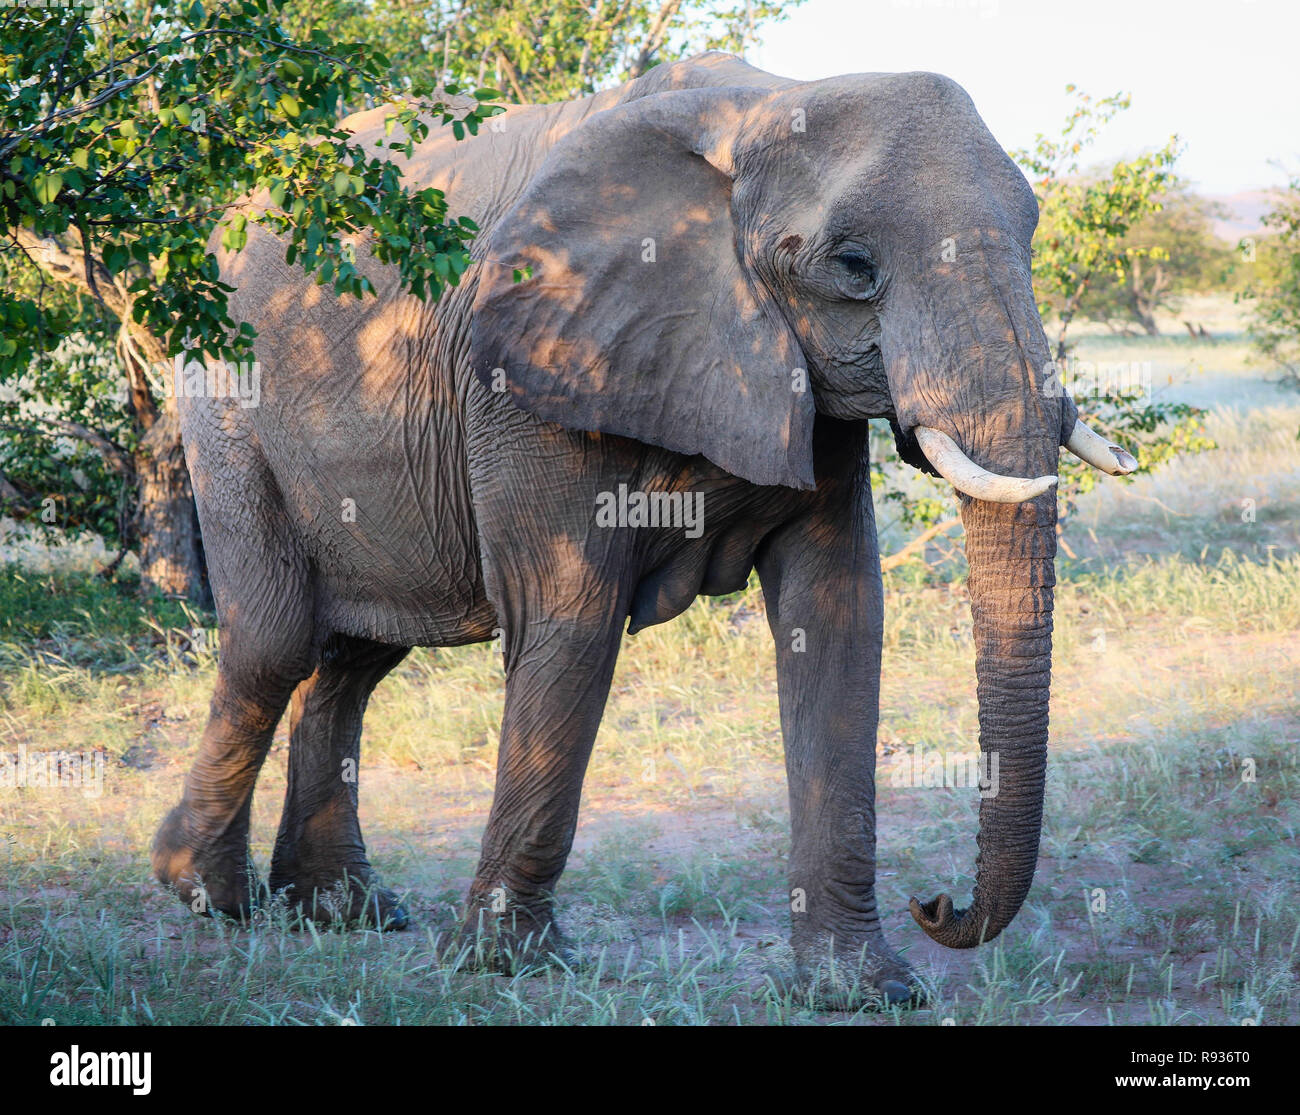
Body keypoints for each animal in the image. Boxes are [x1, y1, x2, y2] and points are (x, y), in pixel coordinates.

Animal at [152, 51, 1137, 1005]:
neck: (766, 101)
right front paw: (508, 966)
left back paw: (341, 910)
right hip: (222, 389)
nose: (934, 901)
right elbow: (573, 617)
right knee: (276, 639)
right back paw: (200, 891)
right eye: (854, 265)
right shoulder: (527, 375)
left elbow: (838, 615)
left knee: (355, 655)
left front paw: (863, 989)